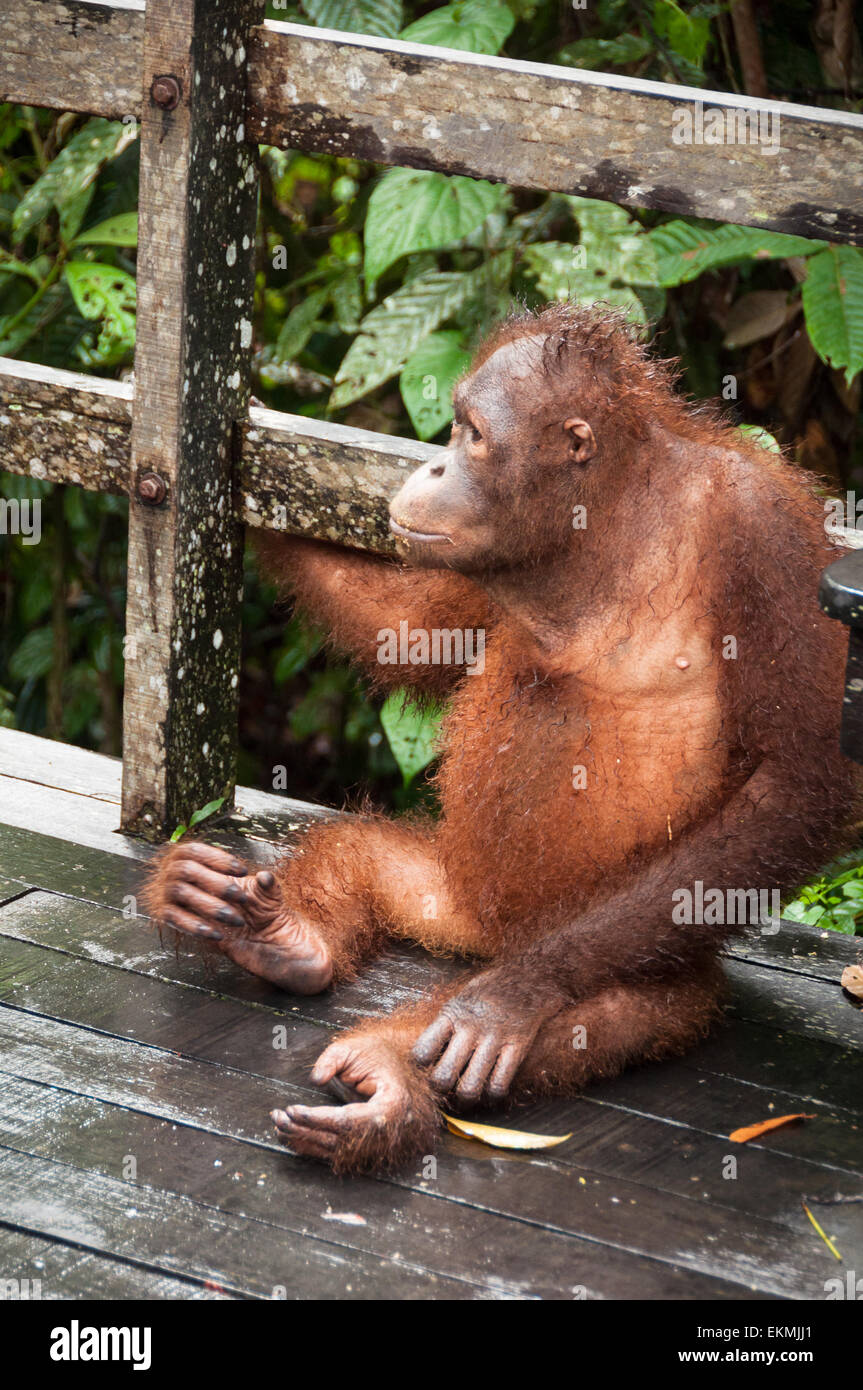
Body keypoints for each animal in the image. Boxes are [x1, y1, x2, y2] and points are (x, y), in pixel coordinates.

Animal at [141, 303, 856, 1174]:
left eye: (472, 435)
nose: (434, 467)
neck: (604, 515)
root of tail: (487, 937)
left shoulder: (760, 530)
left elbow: (800, 778)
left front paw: (502, 1006)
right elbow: (411, 634)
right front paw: (242, 453)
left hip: (648, 948)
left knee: (619, 1007)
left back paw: (394, 1065)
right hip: (446, 885)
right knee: (360, 853)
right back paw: (278, 935)